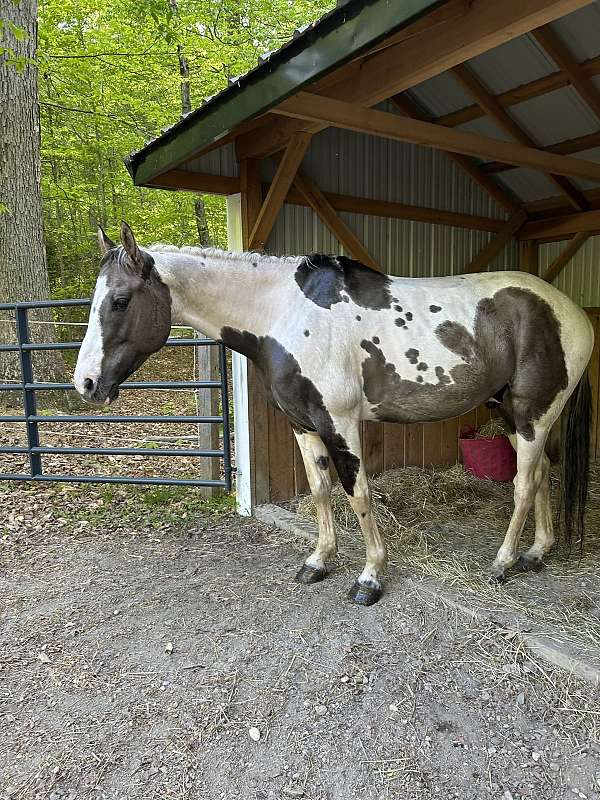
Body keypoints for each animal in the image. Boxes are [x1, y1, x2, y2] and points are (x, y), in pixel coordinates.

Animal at [74, 222, 594, 605]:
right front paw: (319, 561)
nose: (86, 384)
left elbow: (357, 493)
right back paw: (536, 554)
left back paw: (503, 563)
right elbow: (321, 489)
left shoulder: (340, 423)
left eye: (120, 301)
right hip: (512, 414)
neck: (283, 313)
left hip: (532, 415)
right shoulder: (303, 425)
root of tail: (573, 313)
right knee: (542, 474)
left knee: (524, 484)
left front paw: (370, 577)